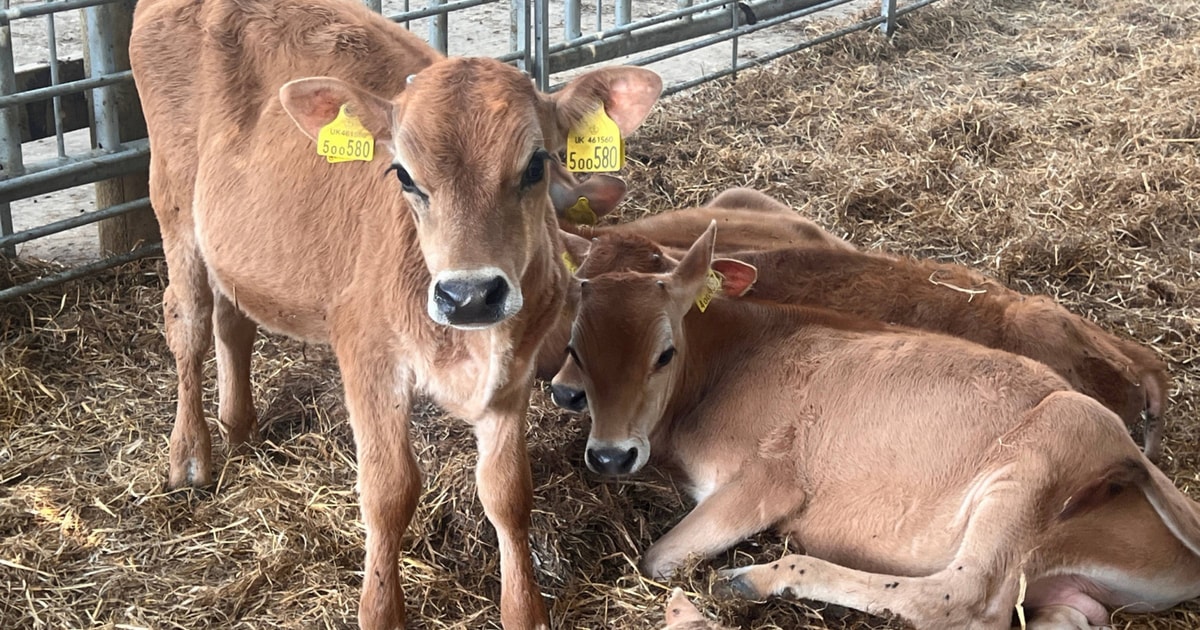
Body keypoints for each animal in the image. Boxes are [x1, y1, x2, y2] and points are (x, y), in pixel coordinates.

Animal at [128, 0, 661, 627]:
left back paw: (239, 427)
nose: (470, 295)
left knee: (233, 320)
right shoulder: (368, 358)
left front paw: (523, 609)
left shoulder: (513, 376)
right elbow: (389, 492)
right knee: (187, 320)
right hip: (173, 200)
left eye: (537, 165)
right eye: (403, 174)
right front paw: (380, 609)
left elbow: (508, 493)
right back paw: (191, 456)